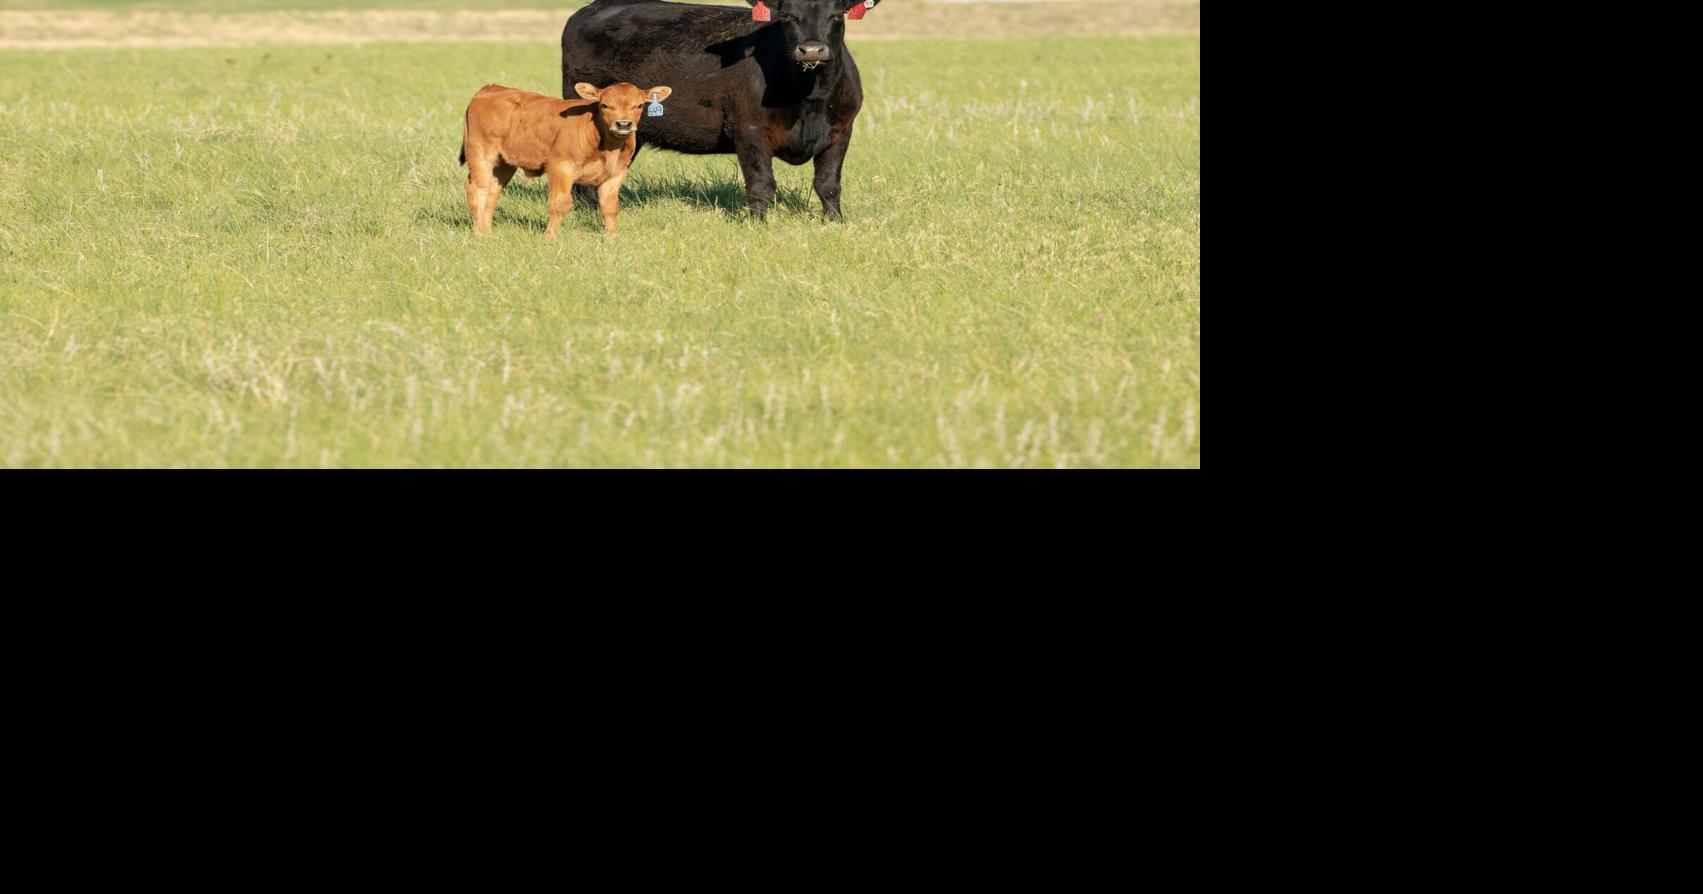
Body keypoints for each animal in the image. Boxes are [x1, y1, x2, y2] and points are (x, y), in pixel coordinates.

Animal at [459, 81, 672, 238]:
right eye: (604, 105)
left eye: (639, 105)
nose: (623, 124)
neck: (607, 148)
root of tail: (491, 88)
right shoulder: (561, 166)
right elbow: (560, 203)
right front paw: (550, 238)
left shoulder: (616, 174)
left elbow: (610, 206)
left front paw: (612, 237)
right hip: (480, 153)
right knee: (477, 189)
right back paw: (479, 233)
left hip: (504, 163)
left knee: (492, 191)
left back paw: (488, 232)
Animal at [561, 0, 882, 222]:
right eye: (787, 16)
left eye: (837, 15)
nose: (812, 50)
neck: (809, 99)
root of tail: (595, 7)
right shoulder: (749, 130)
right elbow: (761, 184)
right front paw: (759, 226)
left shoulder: (841, 131)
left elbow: (828, 185)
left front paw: (835, 223)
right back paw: (592, 214)